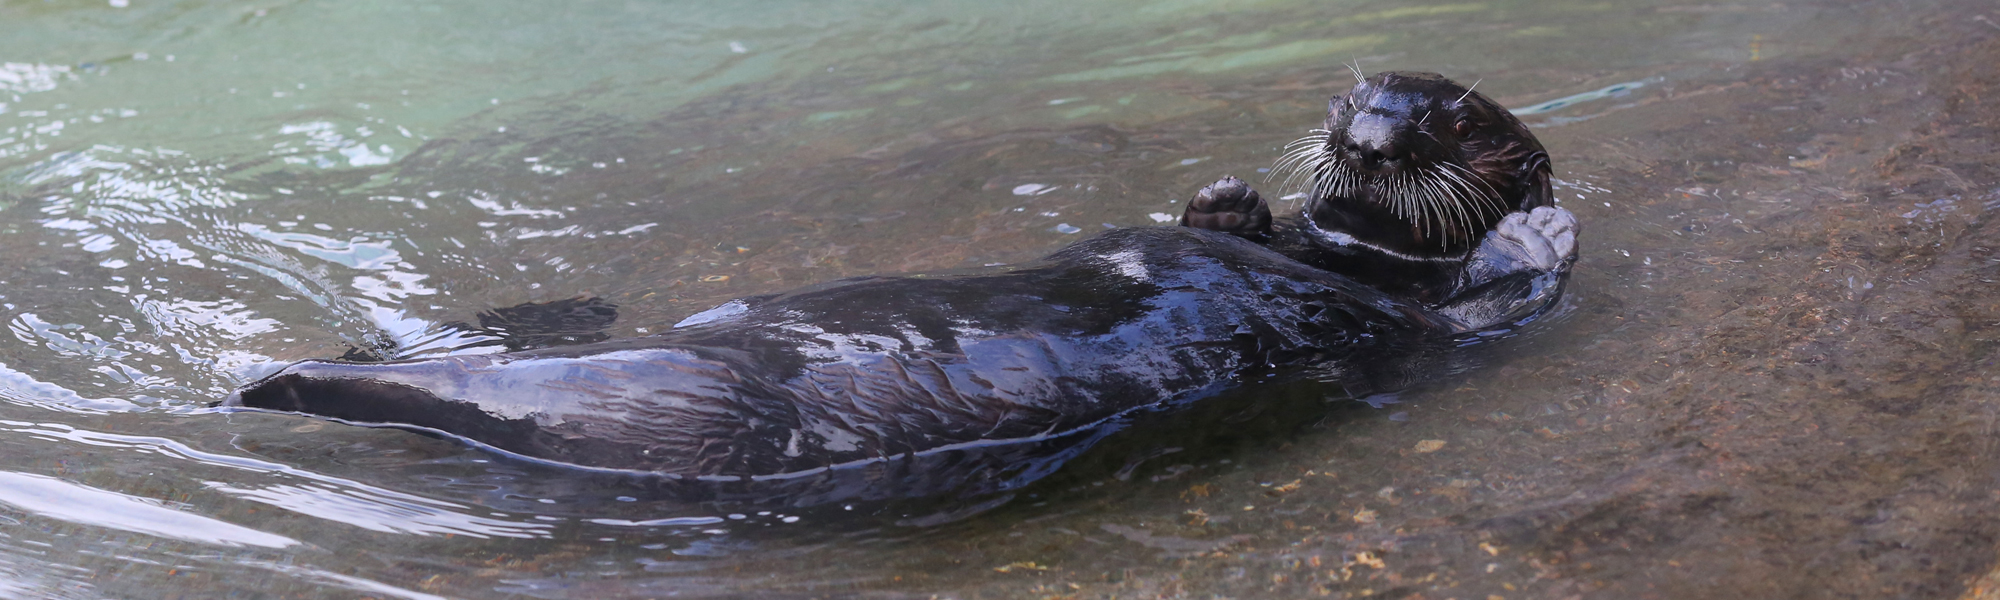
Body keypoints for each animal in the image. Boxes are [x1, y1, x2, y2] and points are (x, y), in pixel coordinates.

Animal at [225, 71, 1577, 505]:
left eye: (1453, 117)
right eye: (1355, 89)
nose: (1369, 127)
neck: (1335, 252)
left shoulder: (1412, 316)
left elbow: (1482, 293)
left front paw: (1531, 226)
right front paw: (1225, 198)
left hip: (683, 406)